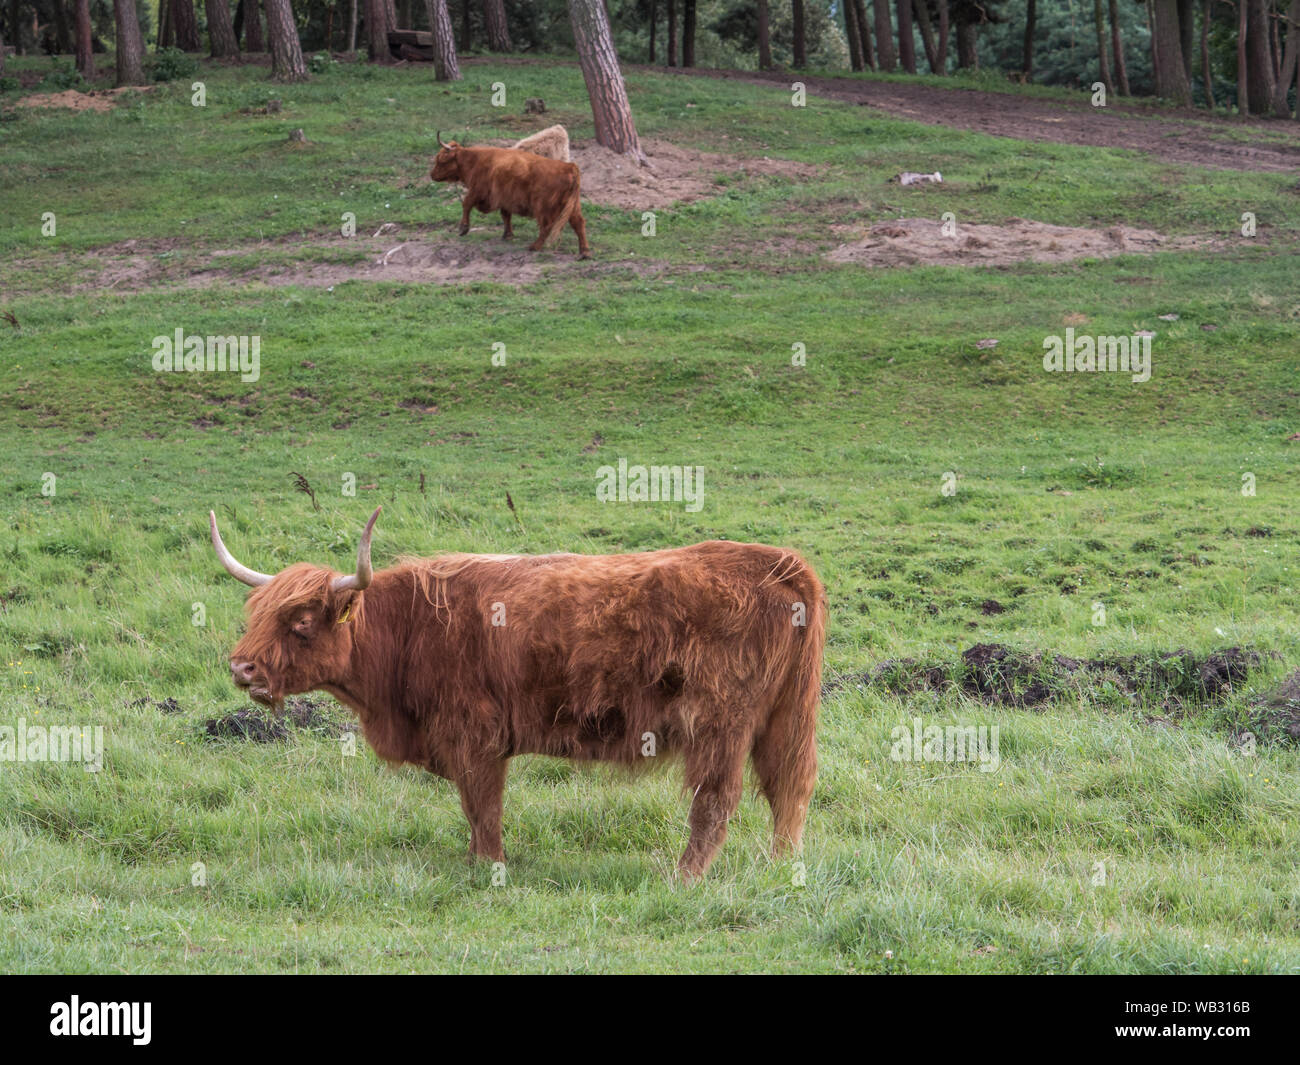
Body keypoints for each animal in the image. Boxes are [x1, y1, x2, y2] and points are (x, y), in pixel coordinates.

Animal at [210, 507, 825, 879]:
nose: (242, 667)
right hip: (784, 718)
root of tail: (779, 562)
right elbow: (476, 807)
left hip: (719, 724)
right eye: (256, 614)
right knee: (787, 789)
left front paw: (488, 867)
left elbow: (482, 806)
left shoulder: (475, 736)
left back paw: (685, 877)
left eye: (301, 622)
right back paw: (781, 869)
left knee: (717, 800)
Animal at [430, 132, 590, 259]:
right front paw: (508, 235)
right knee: (578, 223)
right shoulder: (504, 199)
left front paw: (463, 228)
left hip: (543, 207)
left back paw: (534, 246)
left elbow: (466, 203)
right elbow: (505, 215)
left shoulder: (478, 191)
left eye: (440, 160)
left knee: (547, 226)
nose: (432, 175)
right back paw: (584, 252)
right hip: (573, 207)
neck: (475, 160)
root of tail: (569, 167)